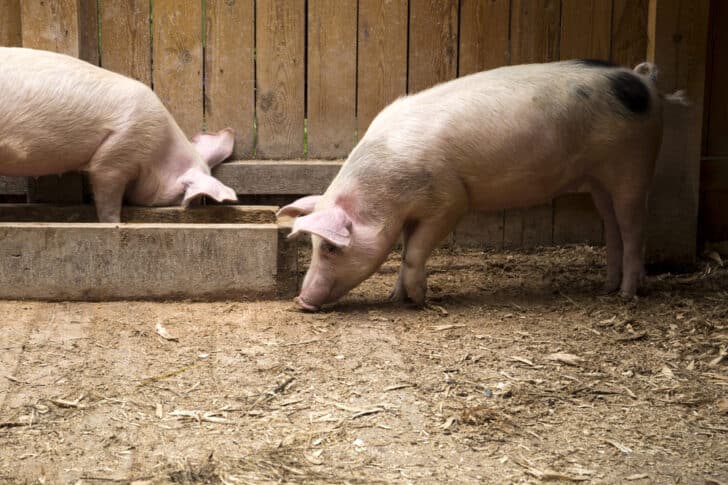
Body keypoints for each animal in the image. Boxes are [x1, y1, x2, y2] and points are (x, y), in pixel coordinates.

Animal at [0, 47, 237, 222]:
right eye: (184, 193)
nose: (190, 205)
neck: (159, 152)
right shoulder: (115, 155)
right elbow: (107, 196)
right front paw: (114, 223)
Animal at [279, 60, 673, 311]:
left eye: (330, 248)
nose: (301, 300)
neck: (387, 195)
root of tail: (644, 82)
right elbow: (405, 248)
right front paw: (396, 298)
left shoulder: (450, 200)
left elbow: (415, 251)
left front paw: (418, 301)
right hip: (597, 179)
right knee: (612, 226)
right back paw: (606, 288)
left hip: (634, 163)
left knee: (633, 226)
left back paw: (626, 296)